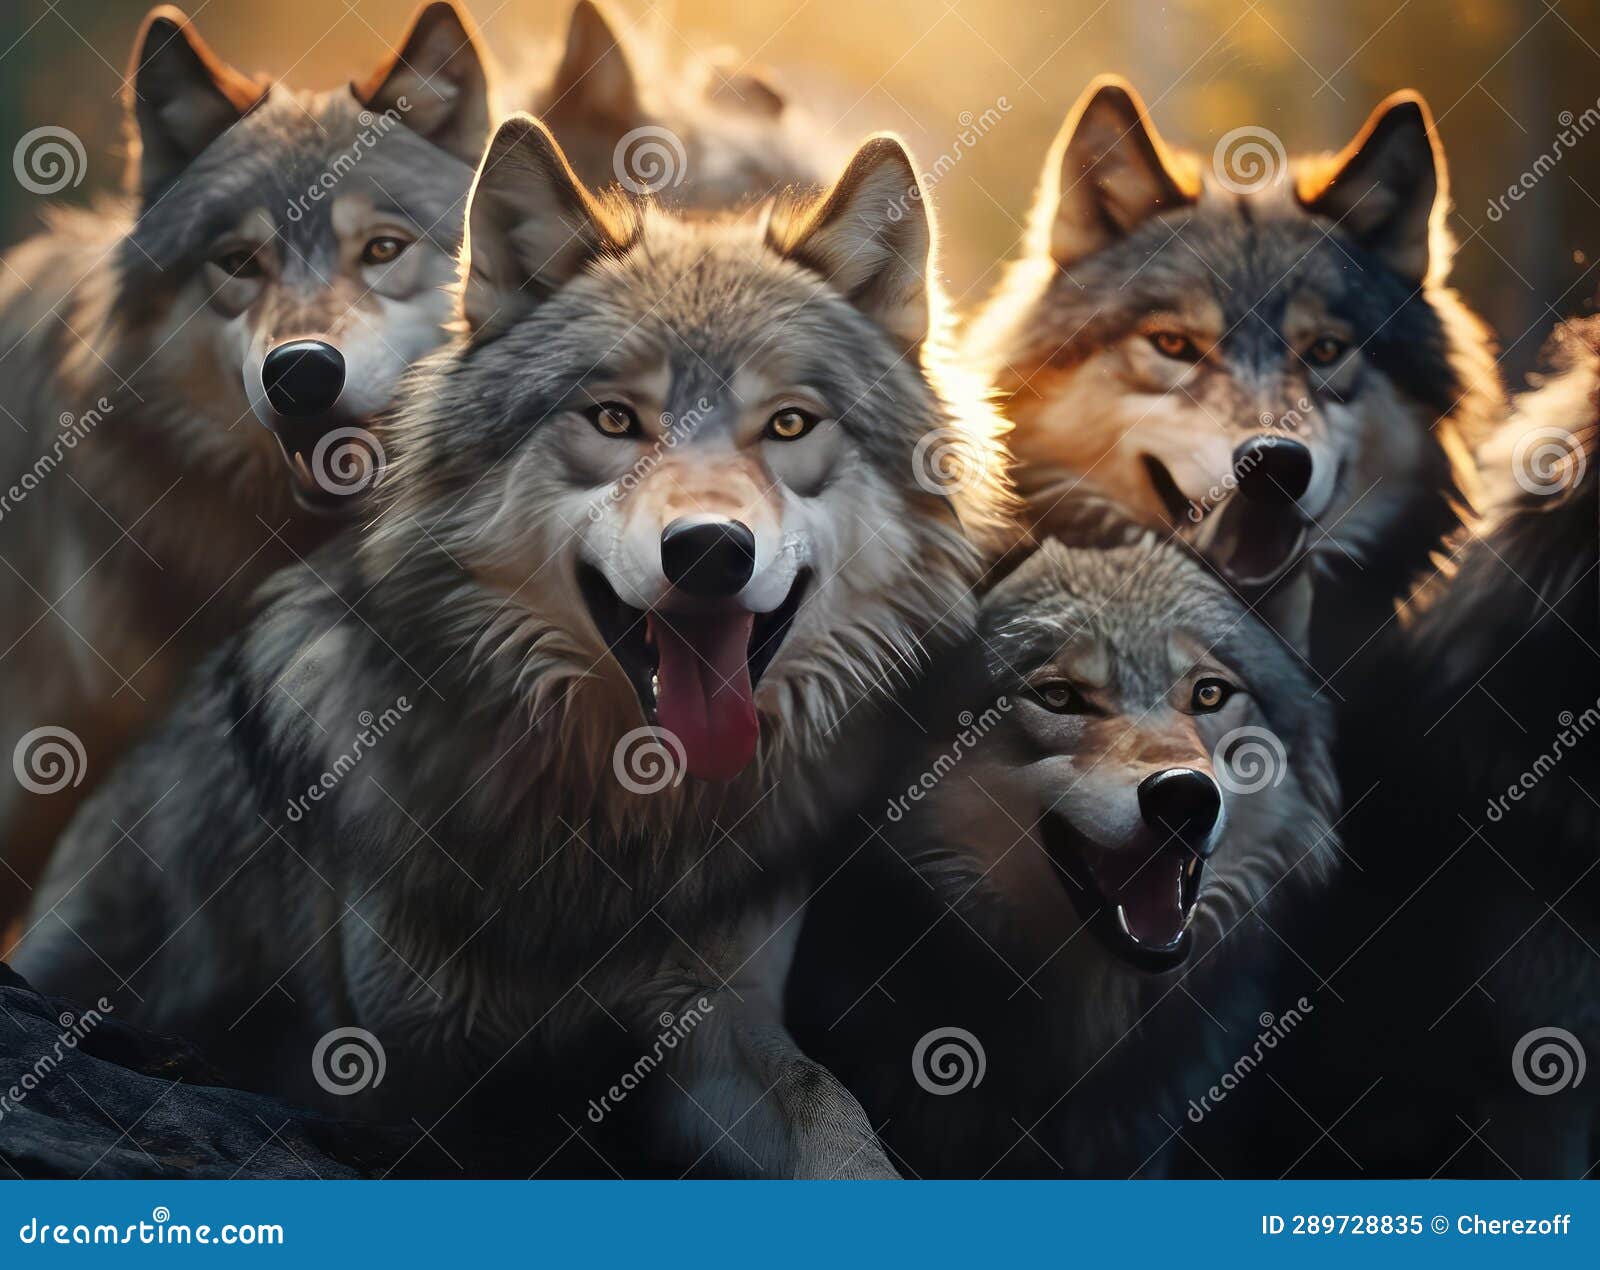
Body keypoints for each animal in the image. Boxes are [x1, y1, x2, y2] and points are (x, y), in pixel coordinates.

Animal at [13, 115, 1013, 1177]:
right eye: (614, 418)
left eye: (789, 424)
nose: (709, 549)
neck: (596, 828)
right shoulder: (404, 1064)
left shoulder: (719, 1019)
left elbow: (834, 1113)